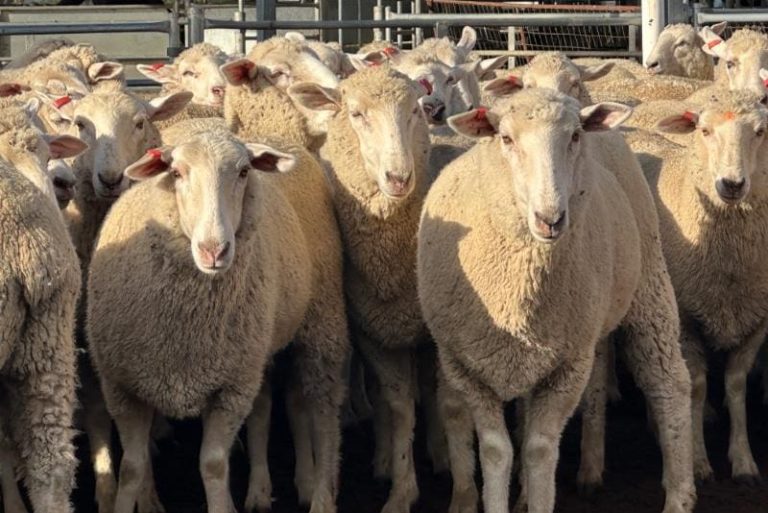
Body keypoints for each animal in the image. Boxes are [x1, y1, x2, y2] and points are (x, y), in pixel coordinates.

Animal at [86, 120, 348, 513]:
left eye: (243, 172)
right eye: (176, 172)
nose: (215, 250)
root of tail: (277, 138)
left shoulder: (230, 388)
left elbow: (212, 465)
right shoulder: (123, 385)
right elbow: (132, 467)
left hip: (321, 320)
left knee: (324, 412)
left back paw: (320, 495)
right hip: (258, 345)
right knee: (274, 405)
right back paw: (265, 488)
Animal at [288, 65, 431, 513]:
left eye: (415, 110)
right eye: (355, 114)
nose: (399, 178)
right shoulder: (373, 331)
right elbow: (400, 404)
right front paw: (402, 488)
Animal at [418, 89, 695, 513]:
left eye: (574, 136)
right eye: (506, 138)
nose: (550, 219)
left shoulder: (566, 368)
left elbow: (540, 450)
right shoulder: (467, 367)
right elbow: (497, 452)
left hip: (648, 279)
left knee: (670, 384)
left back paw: (679, 494)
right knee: (596, 385)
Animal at [639, 90, 768, 484]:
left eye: (760, 131)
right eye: (704, 130)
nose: (731, 184)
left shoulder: (756, 319)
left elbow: (736, 385)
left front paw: (743, 460)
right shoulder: (685, 319)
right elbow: (696, 386)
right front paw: (696, 460)